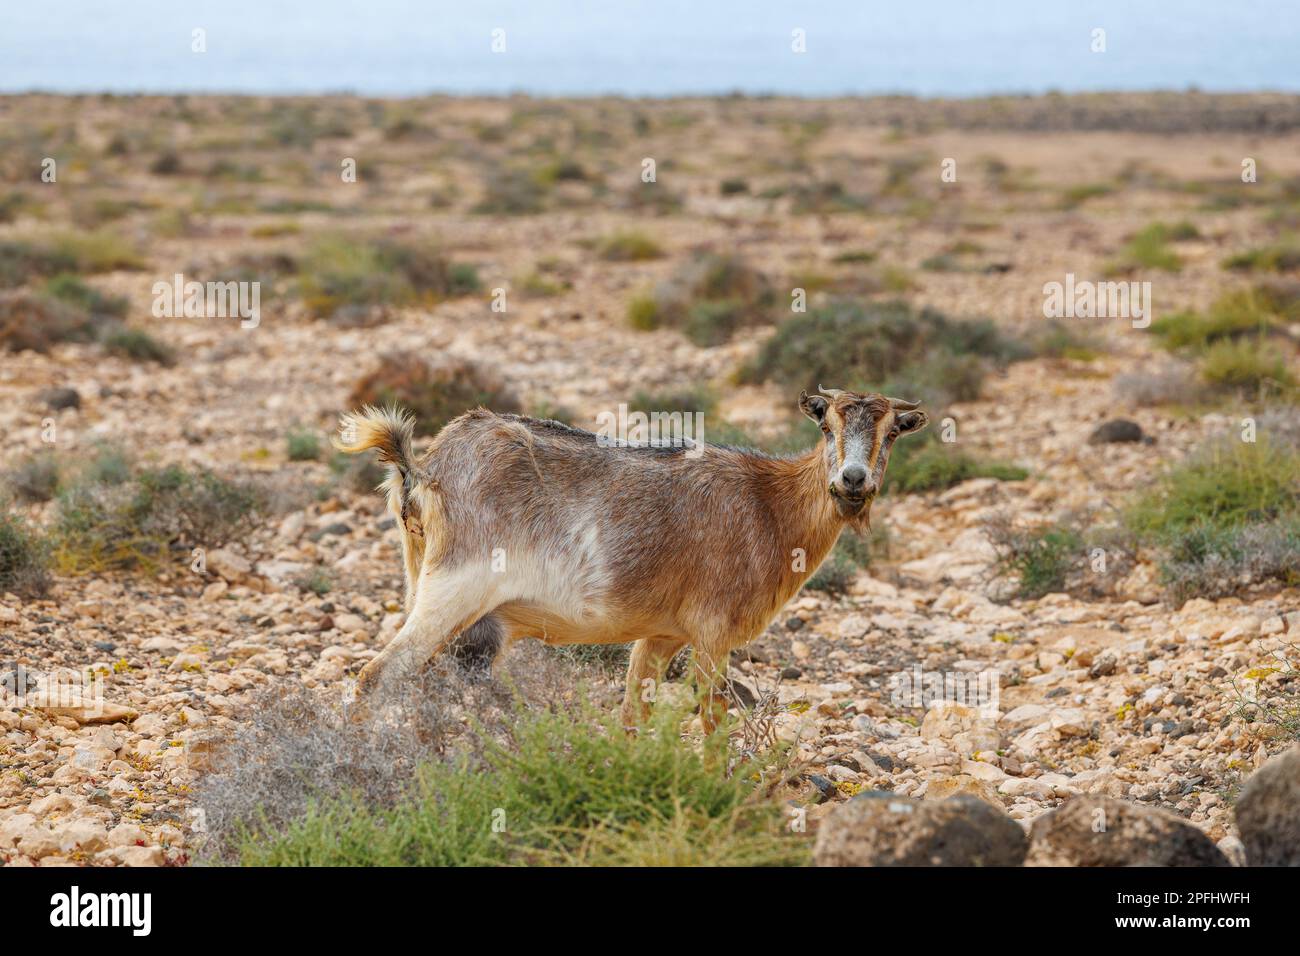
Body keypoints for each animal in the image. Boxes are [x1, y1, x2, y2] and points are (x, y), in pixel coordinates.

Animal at [334, 387, 928, 731]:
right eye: (826, 425)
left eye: (890, 433)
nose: (852, 481)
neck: (770, 503)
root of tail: (422, 470)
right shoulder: (713, 633)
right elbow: (713, 720)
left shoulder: (660, 636)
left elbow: (632, 714)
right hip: (455, 589)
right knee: (376, 676)